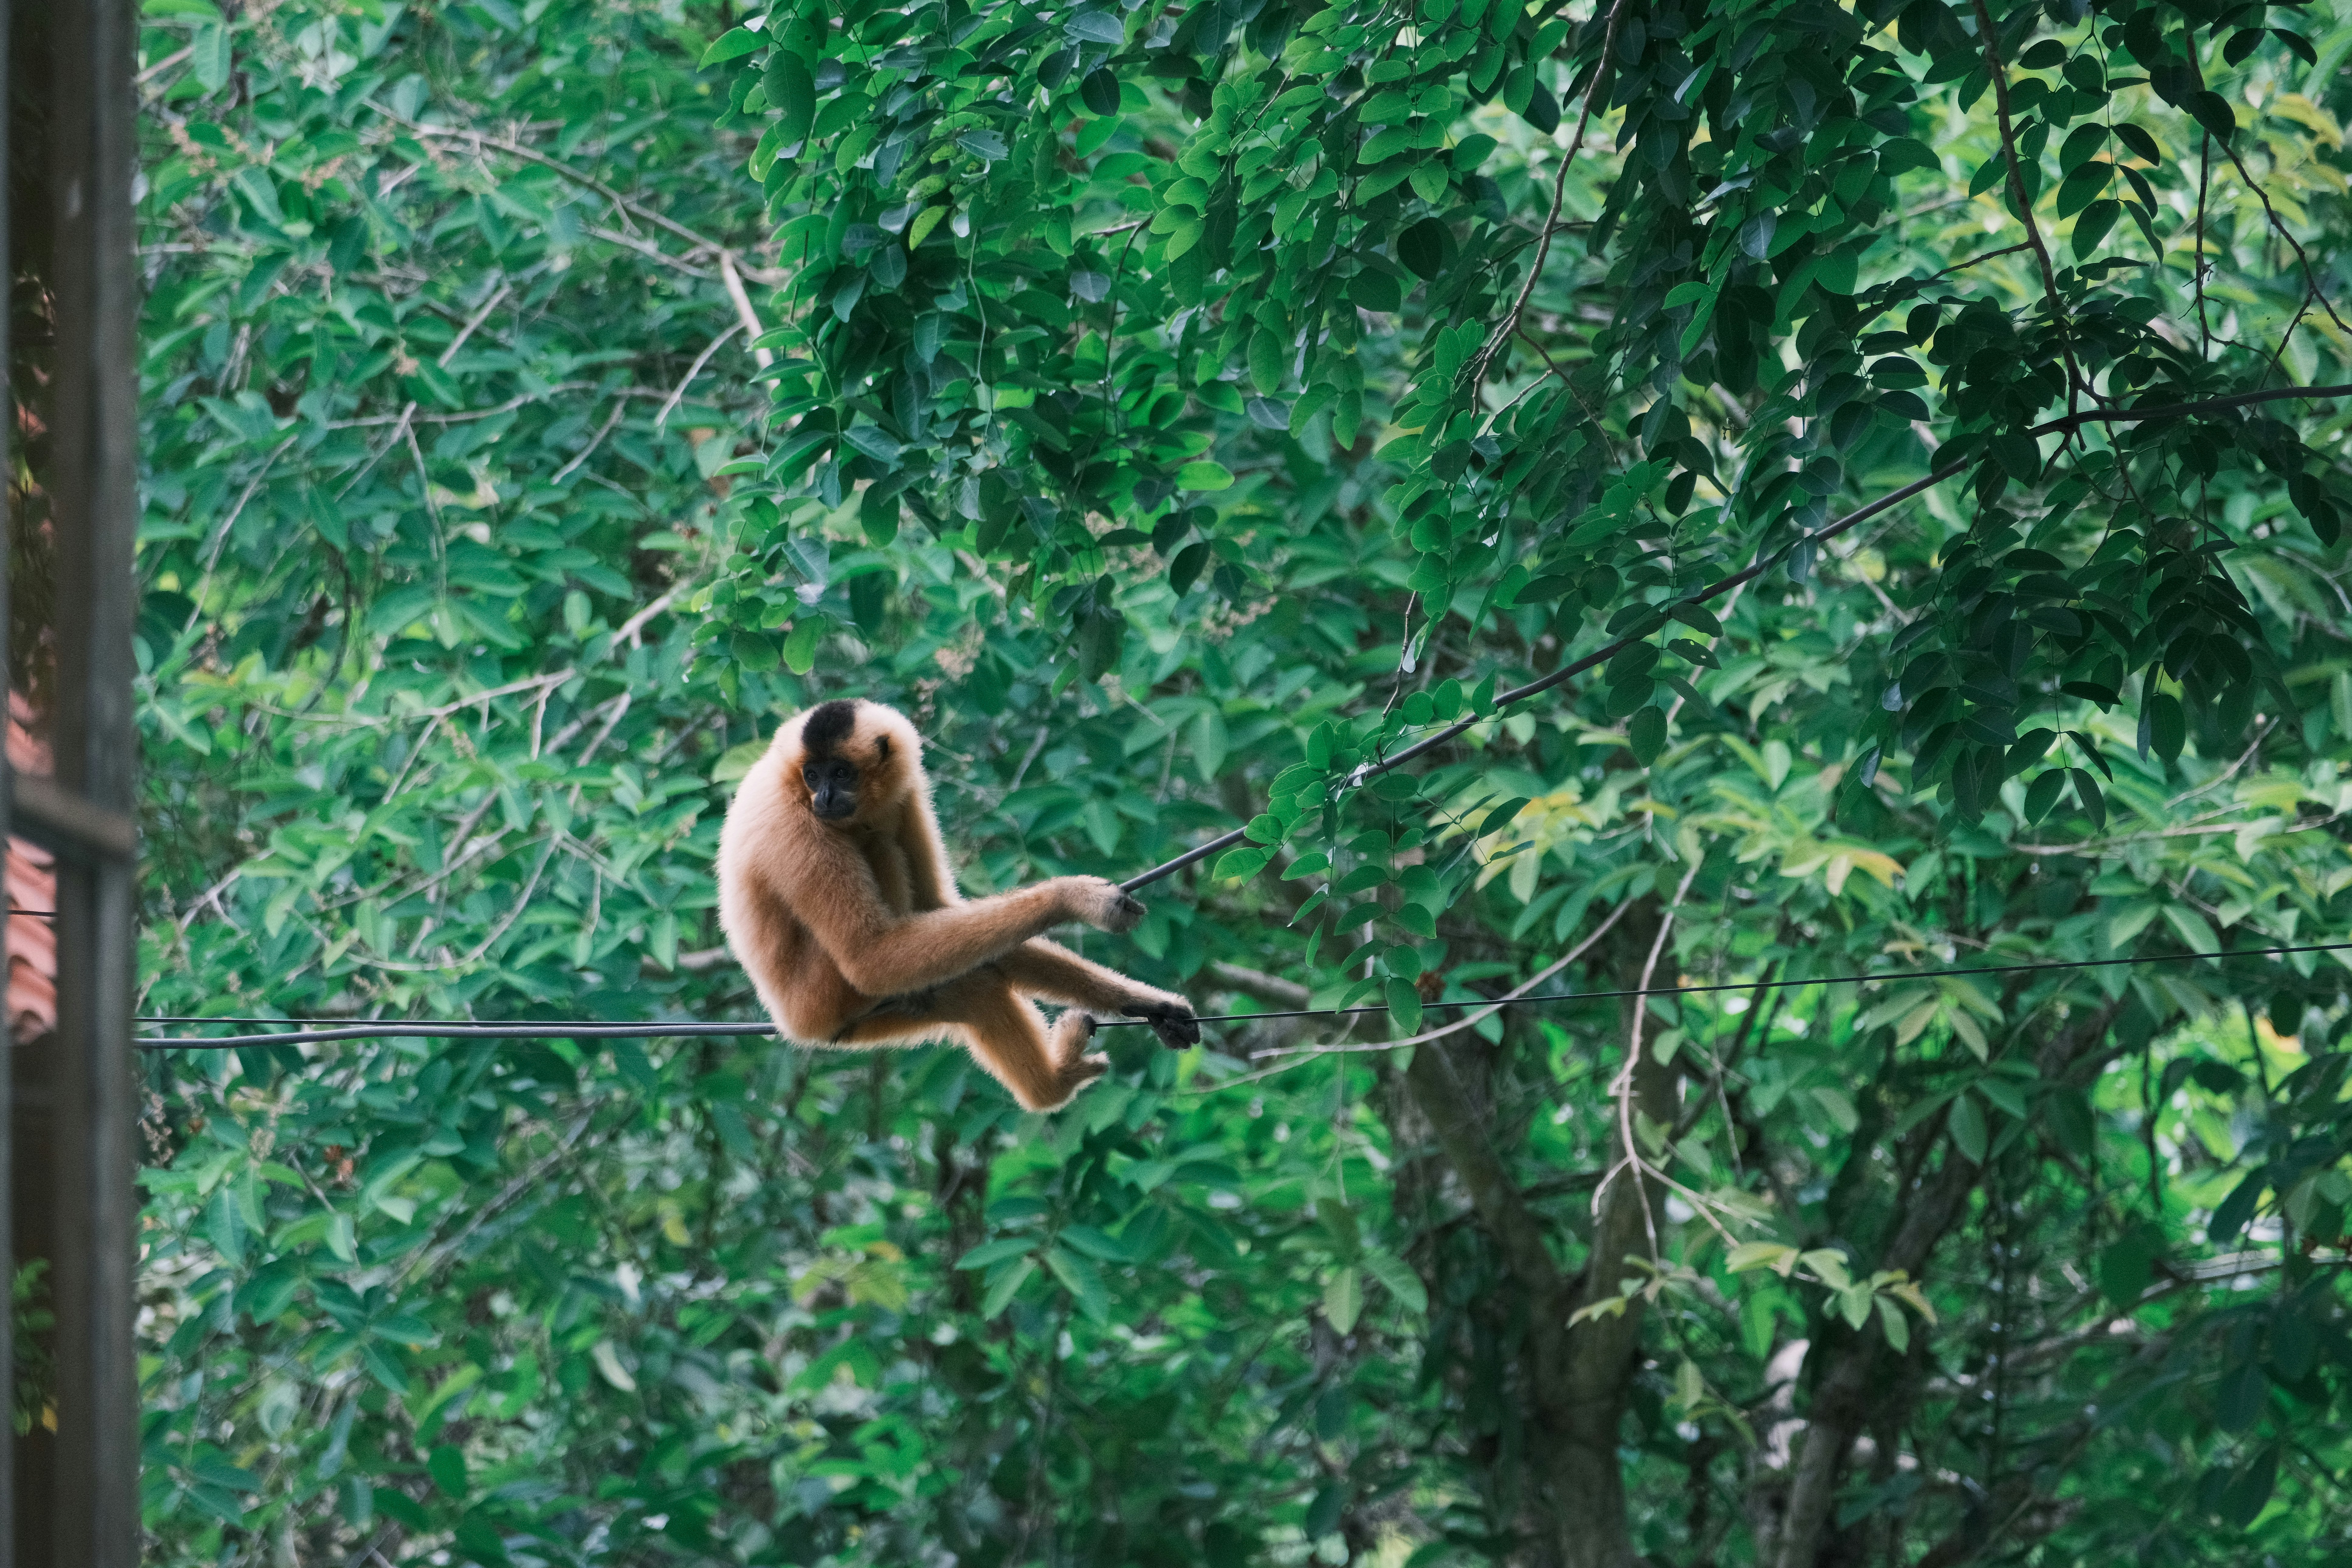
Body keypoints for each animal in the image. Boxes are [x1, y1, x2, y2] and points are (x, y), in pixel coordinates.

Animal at [717, 698, 1200, 1112]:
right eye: (813, 776)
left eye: (840, 772)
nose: (826, 797)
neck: (792, 785)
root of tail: (794, 1022)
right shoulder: (799, 828)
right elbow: (868, 957)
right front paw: (1074, 898)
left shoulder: (905, 792)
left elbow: (936, 909)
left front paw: (1148, 1003)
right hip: (828, 1000)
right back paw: (1053, 1088)